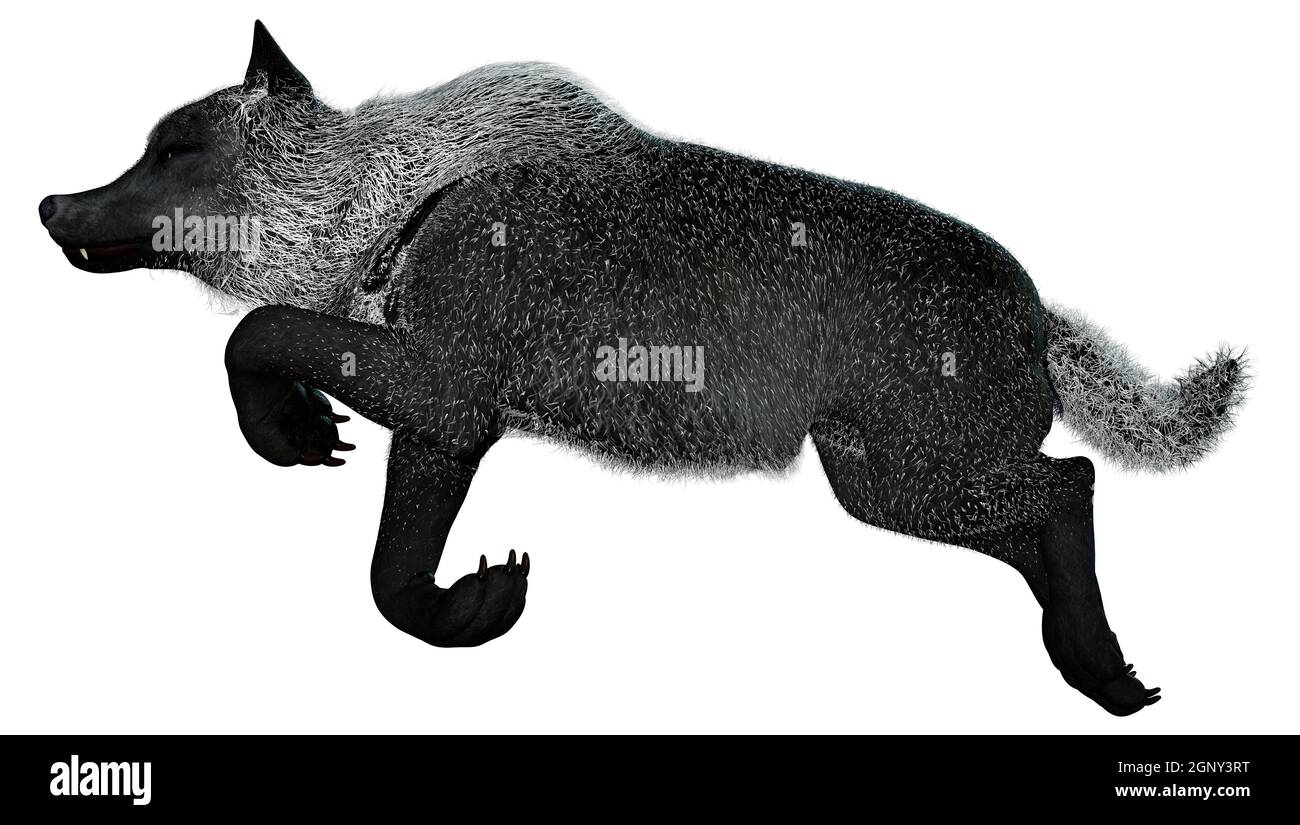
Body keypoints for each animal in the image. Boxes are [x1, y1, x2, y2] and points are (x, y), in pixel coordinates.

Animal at [39, 22, 1248, 715]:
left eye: (172, 151)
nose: (49, 205)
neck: (396, 201)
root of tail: (1039, 313)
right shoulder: (448, 428)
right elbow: (392, 578)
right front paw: (455, 590)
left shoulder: (436, 390)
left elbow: (254, 337)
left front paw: (287, 433)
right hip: (882, 486)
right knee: (1045, 514)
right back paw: (1088, 661)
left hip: (910, 481)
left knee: (1071, 486)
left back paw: (1097, 666)